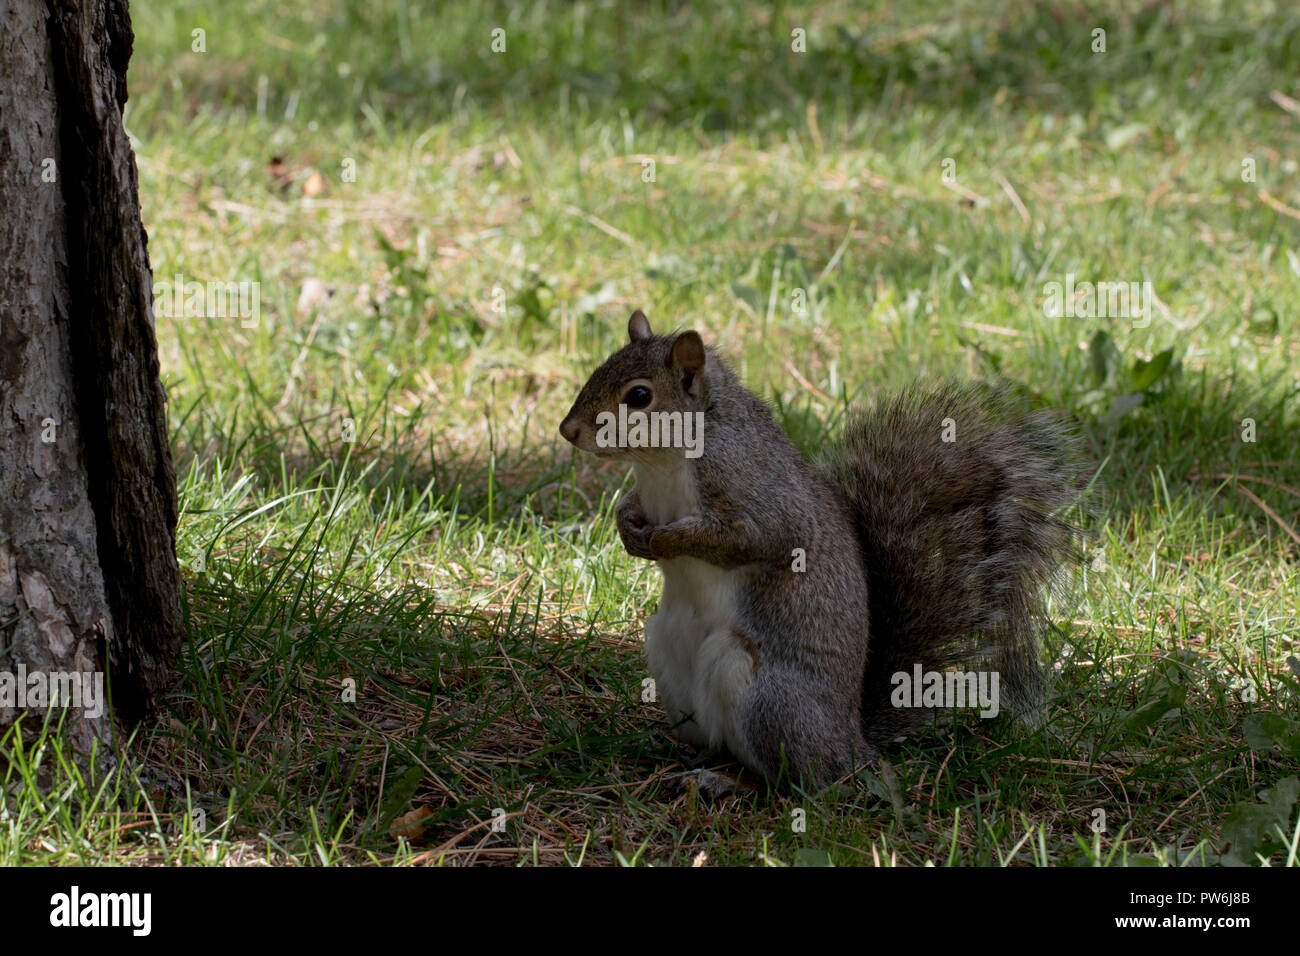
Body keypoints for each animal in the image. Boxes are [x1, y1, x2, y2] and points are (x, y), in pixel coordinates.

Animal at [559, 310, 1084, 788]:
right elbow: (632, 507)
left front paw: (666, 539)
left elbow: (757, 538)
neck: (661, 465)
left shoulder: (756, 493)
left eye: (639, 397)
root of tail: (852, 743)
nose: (569, 431)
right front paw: (628, 528)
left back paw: (728, 782)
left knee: (793, 780)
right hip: (668, 658)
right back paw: (674, 749)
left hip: (767, 700)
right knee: (716, 742)